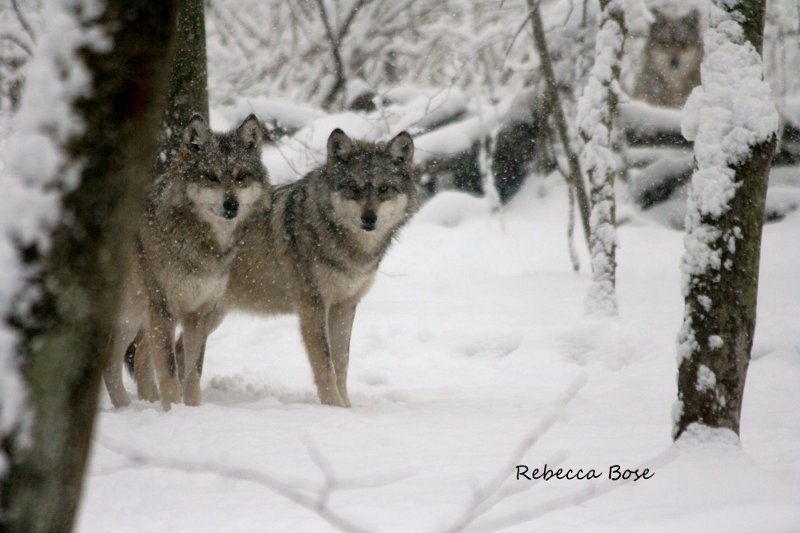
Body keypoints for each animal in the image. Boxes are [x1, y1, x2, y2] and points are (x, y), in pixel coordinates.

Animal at [103, 113, 270, 410]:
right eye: (211, 176)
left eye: (241, 176)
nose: (231, 205)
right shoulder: (163, 310)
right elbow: (170, 373)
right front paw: (173, 412)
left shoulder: (199, 313)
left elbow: (193, 372)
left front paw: (192, 411)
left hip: (130, 318)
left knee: (115, 366)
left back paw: (129, 408)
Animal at [174, 129, 417, 407]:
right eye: (353, 188)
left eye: (384, 188)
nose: (369, 218)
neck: (350, 249)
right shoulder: (313, 307)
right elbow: (326, 365)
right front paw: (334, 408)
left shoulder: (345, 306)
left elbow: (342, 363)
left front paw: (347, 408)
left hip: (211, 312)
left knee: (179, 349)